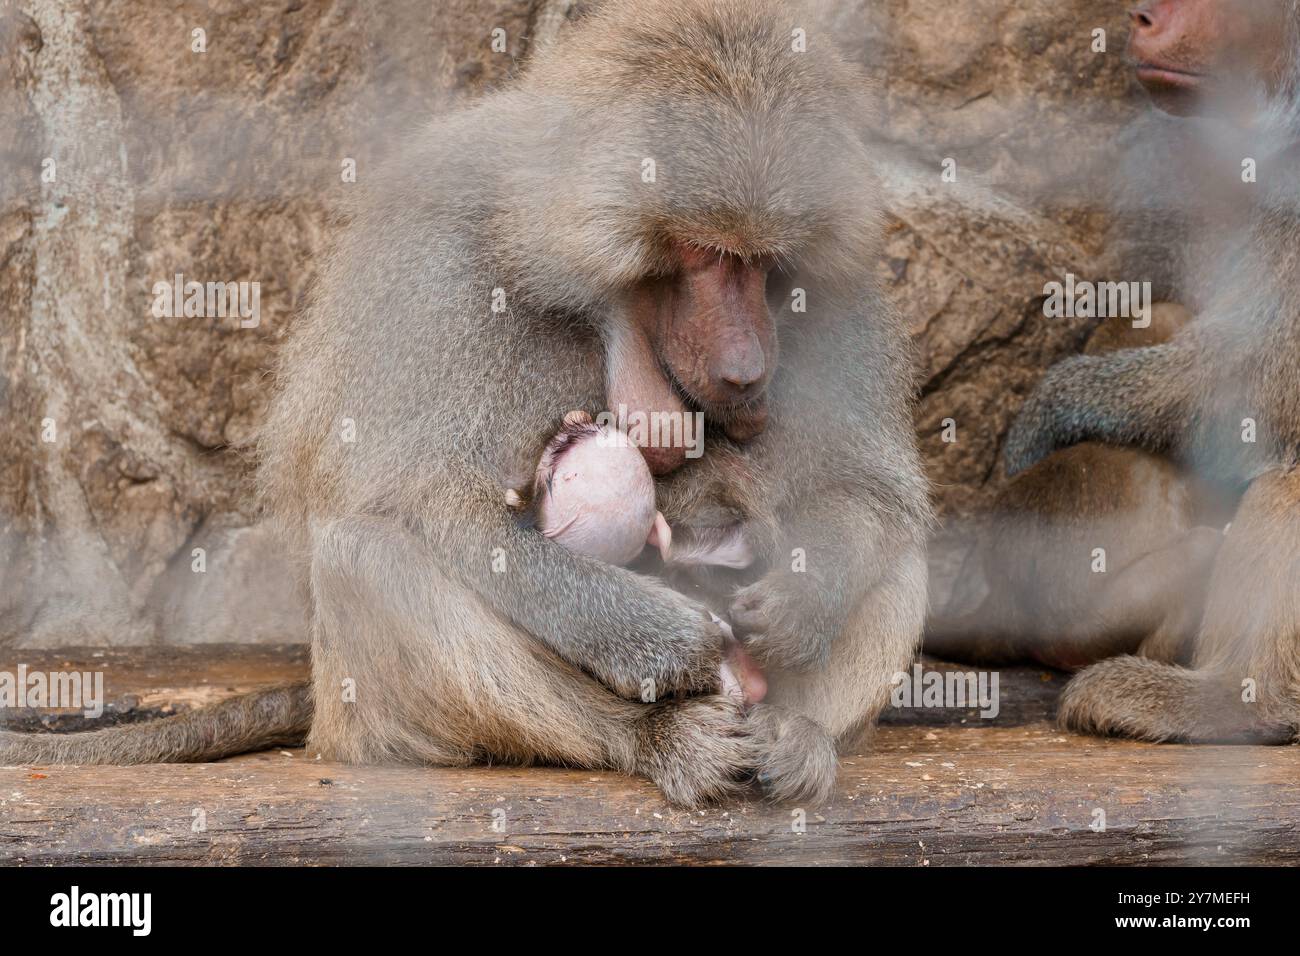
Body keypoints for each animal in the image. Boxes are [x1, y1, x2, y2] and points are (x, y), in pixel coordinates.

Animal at [0, 0, 930, 806]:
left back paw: (794, 739)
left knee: (899, 549)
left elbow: (867, 491)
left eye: (766, 261)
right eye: (705, 254)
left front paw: (801, 602)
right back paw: (664, 741)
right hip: (365, 712)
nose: (745, 368)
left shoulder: (840, 291)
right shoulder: (444, 264)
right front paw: (665, 642)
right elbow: (430, 502)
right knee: (365, 555)